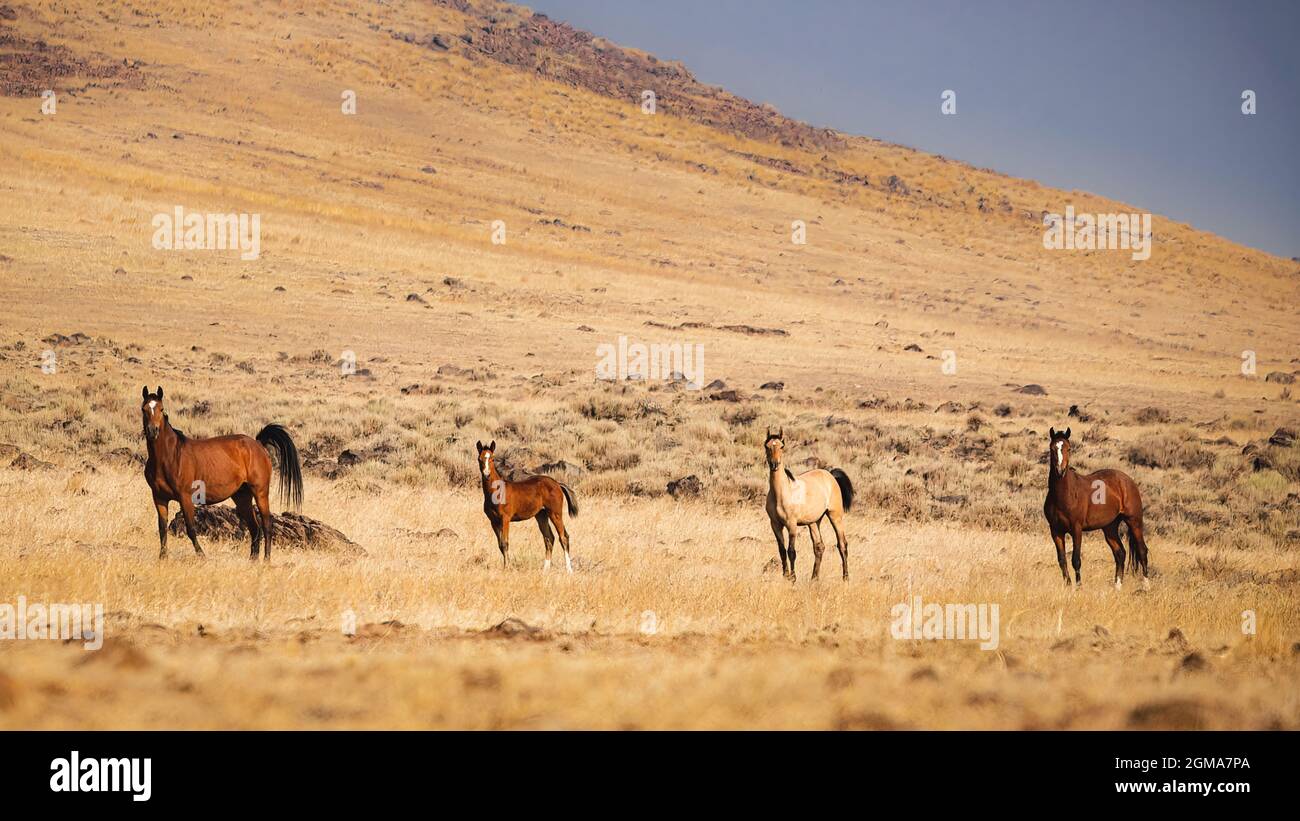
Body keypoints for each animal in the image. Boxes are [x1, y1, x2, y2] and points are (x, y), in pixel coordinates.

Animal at [141, 386, 303, 561]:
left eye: (161, 409)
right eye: (144, 409)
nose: (152, 431)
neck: (170, 456)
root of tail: (258, 444)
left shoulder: (185, 497)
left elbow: (190, 529)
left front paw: (202, 556)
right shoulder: (159, 497)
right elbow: (162, 528)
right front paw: (162, 557)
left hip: (260, 492)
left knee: (267, 525)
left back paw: (266, 560)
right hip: (242, 496)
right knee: (255, 528)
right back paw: (253, 560)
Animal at [476, 440, 579, 572]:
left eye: (492, 459)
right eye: (479, 459)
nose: (487, 474)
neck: (496, 491)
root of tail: (557, 483)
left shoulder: (505, 519)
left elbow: (505, 543)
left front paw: (507, 567)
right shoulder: (493, 521)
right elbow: (500, 545)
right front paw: (507, 566)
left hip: (555, 513)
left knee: (563, 537)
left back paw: (569, 570)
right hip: (541, 515)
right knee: (549, 538)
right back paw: (545, 570)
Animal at [763, 428, 854, 581]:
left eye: (782, 446)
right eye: (767, 446)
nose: (774, 465)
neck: (781, 493)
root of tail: (830, 475)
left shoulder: (792, 524)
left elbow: (791, 551)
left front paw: (793, 578)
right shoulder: (775, 524)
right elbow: (781, 550)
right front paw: (785, 576)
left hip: (835, 516)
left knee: (842, 545)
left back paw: (845, 578)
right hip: (814, 522)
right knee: (819, 547)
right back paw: (814, 579)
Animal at [1042, 426, 1149, 589]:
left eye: (1069, 448)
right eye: (1052, 448)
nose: (1060, 471)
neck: (1064, 494)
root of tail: (1127, 480)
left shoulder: (1076, 529)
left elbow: (1076, 560)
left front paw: (1078, 587)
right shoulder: (1056, 531)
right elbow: (1062, 560)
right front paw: (1067, 586)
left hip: (1134, 521)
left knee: (1142, 550)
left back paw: (1146, 585)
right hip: (1109, 527)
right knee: (1120, 553)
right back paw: (1117, 586)